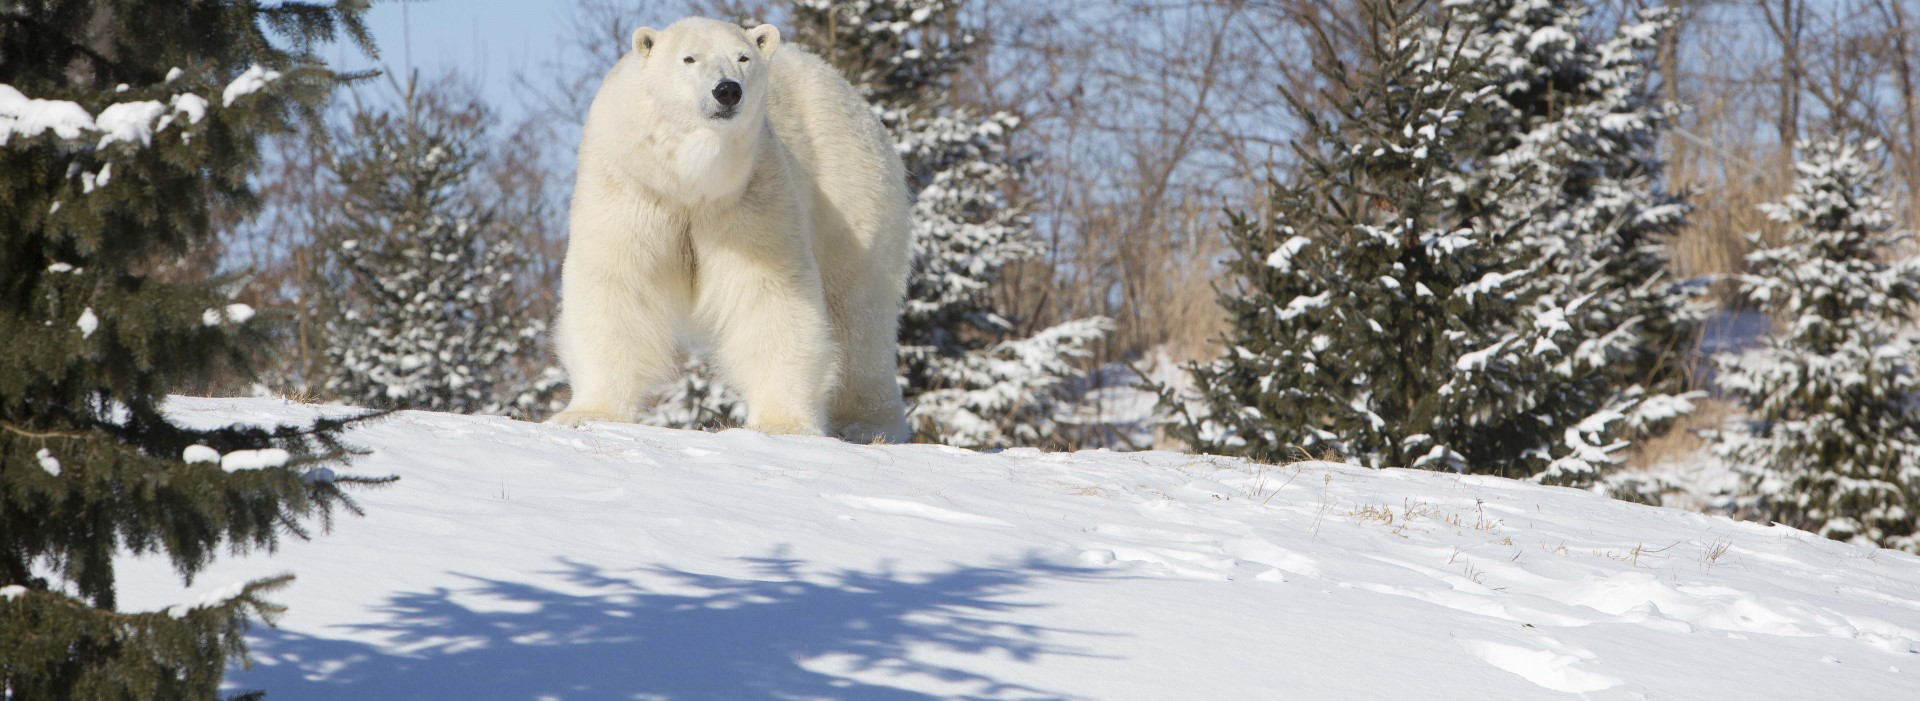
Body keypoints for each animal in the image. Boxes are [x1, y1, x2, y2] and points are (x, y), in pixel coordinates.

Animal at [548, 17, 913, 444]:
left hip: (849, 187)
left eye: (743, 57)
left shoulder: (751, 193)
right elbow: (614, 282)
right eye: (689, 58)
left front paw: (781, 425)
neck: (690, 181)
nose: (727, 90)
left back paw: (867, 424)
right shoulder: (630, 187)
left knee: (857, 308)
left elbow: (769, 291)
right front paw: (587, 413)